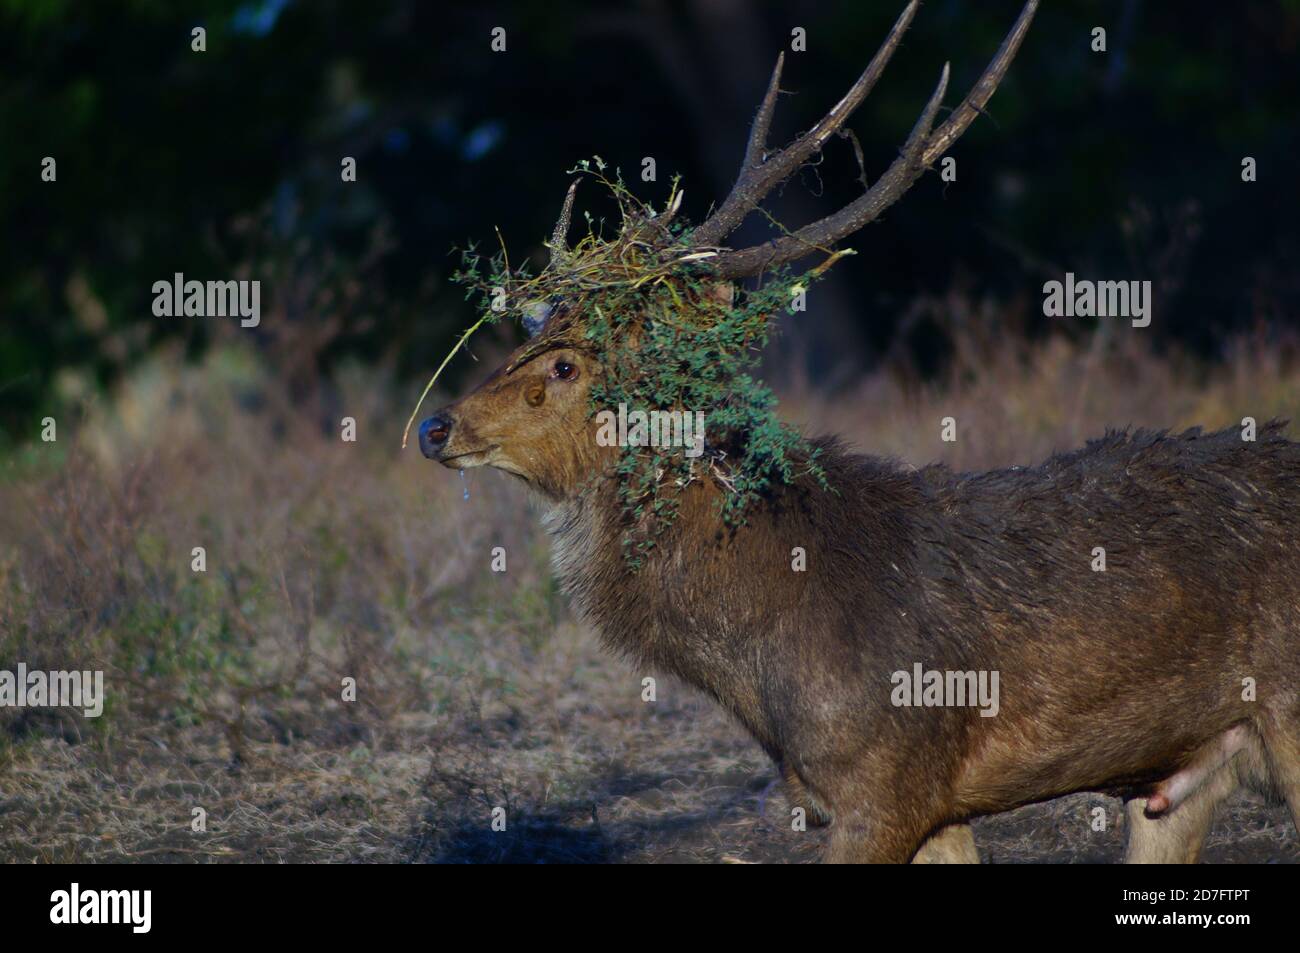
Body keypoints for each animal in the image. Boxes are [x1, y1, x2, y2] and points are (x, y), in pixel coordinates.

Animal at [416, 0, 1298, 863]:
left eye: (565, 364)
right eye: (528, 336)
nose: (434, 424)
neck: (757, 663)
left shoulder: (886, 779)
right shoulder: (930, 805)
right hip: (1187, 776)